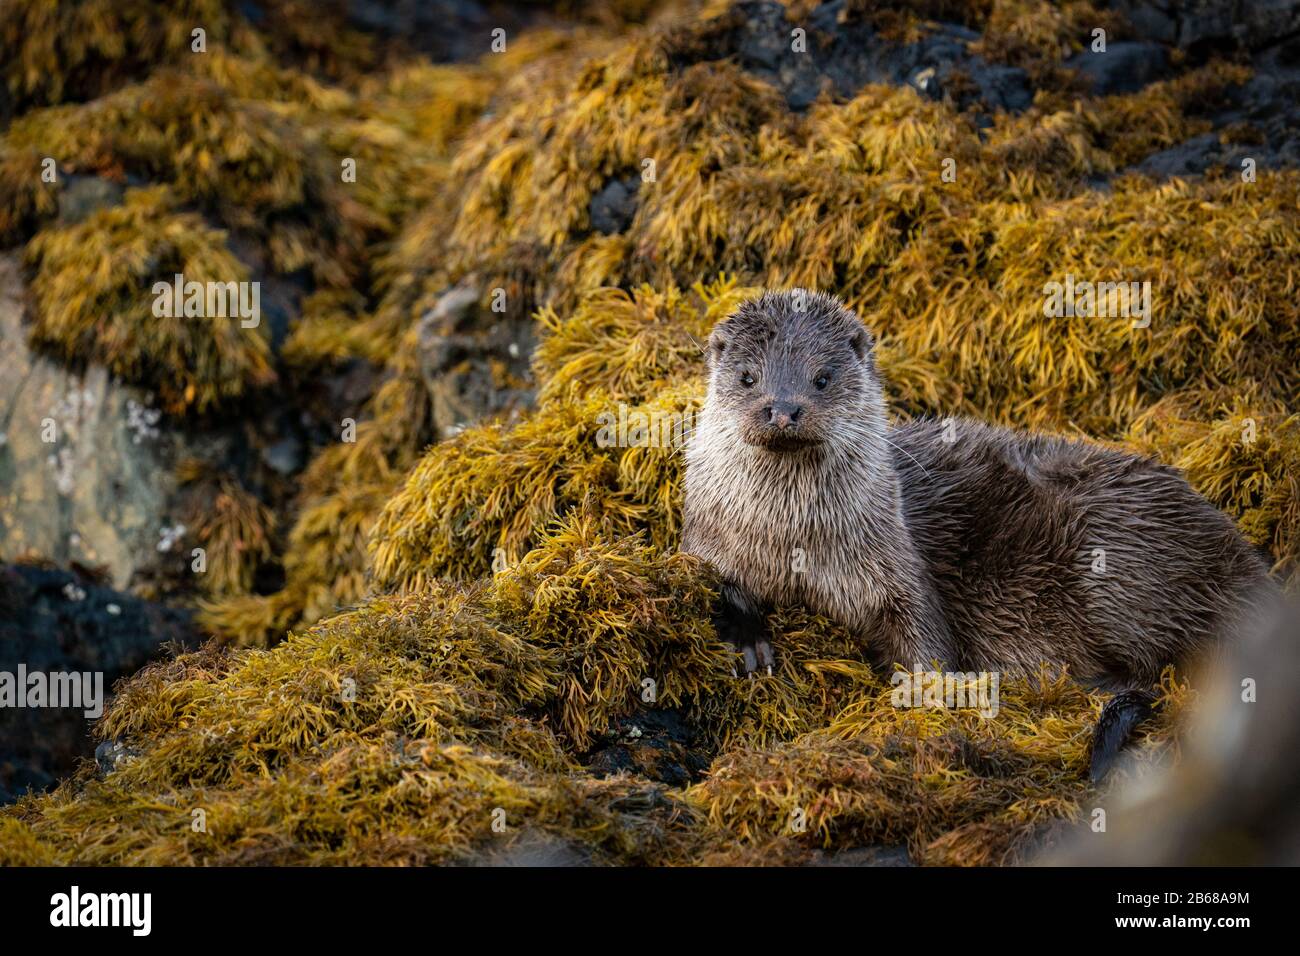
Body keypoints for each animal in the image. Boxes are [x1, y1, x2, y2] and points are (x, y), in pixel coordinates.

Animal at [682, 290, 1277, 776]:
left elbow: (926, 638)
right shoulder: (707, 534)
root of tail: (1240, 561)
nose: (783, 409)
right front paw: (749, 640)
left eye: (822, 377)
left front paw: (927, 701)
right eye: (748, 377)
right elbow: (713, 575)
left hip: (1116, 551)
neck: (795, 548)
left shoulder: (896, 562)